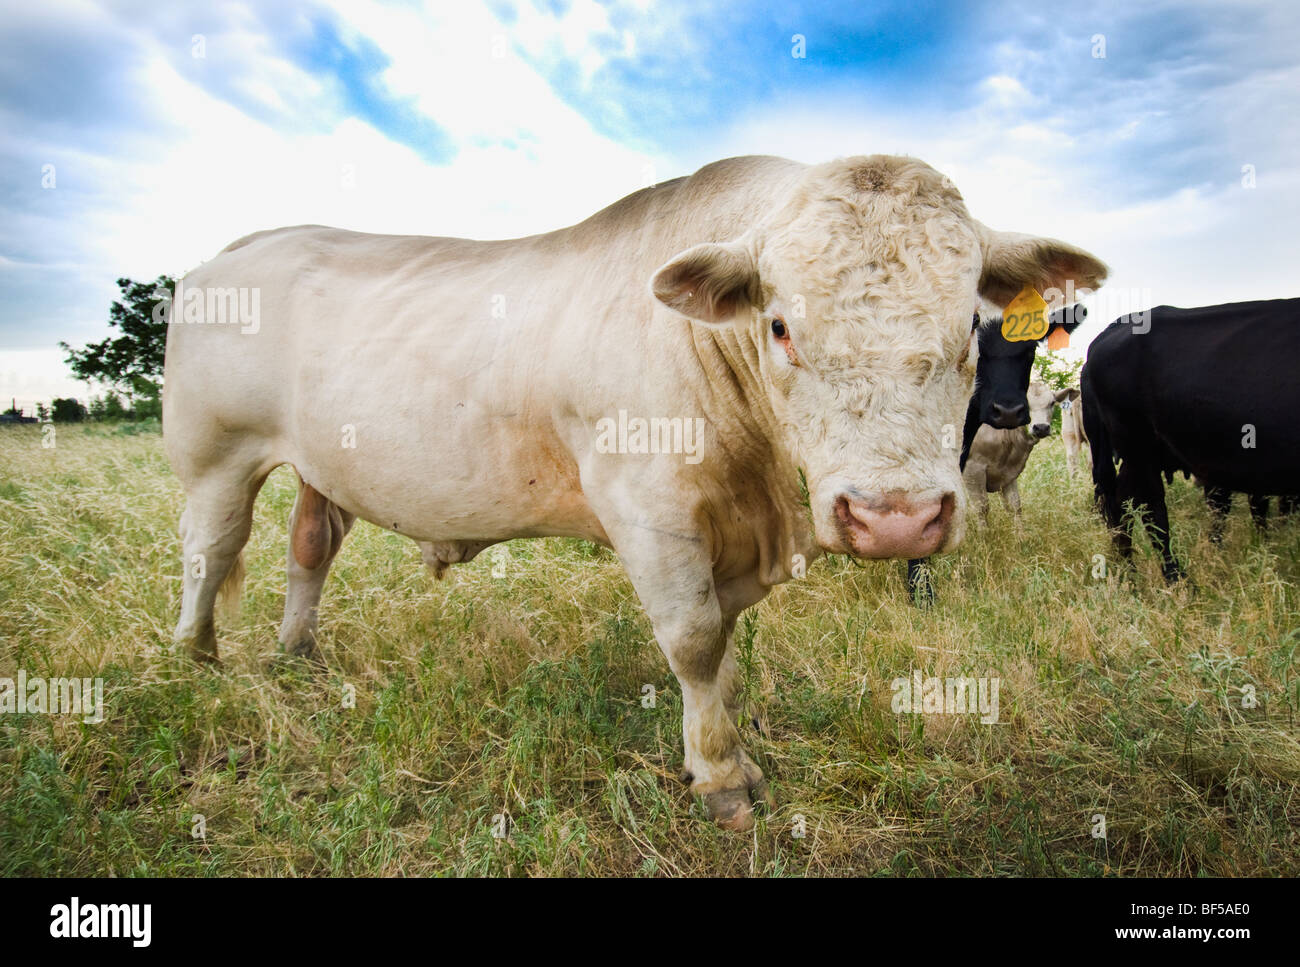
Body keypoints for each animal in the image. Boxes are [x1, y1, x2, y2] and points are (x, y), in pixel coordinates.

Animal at [163, 153, 1106, 829]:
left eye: (970, 328)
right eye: (779, 325)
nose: (896, 518)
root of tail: (246, 246)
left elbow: (724, 643)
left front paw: (720, 735)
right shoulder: (649, 512)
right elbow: (693, 641)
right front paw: (721, 775)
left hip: (319, 466)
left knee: (308, 548)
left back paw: (297, 652)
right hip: (214, 456)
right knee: (210, 551)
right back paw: (196, 658)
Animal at [1082, 298, 1300, 582]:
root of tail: (1111, 330)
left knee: (1122, 502)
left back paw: (1130, 572)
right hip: (1136, 444)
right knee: (1149, 506)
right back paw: (1176, 578)